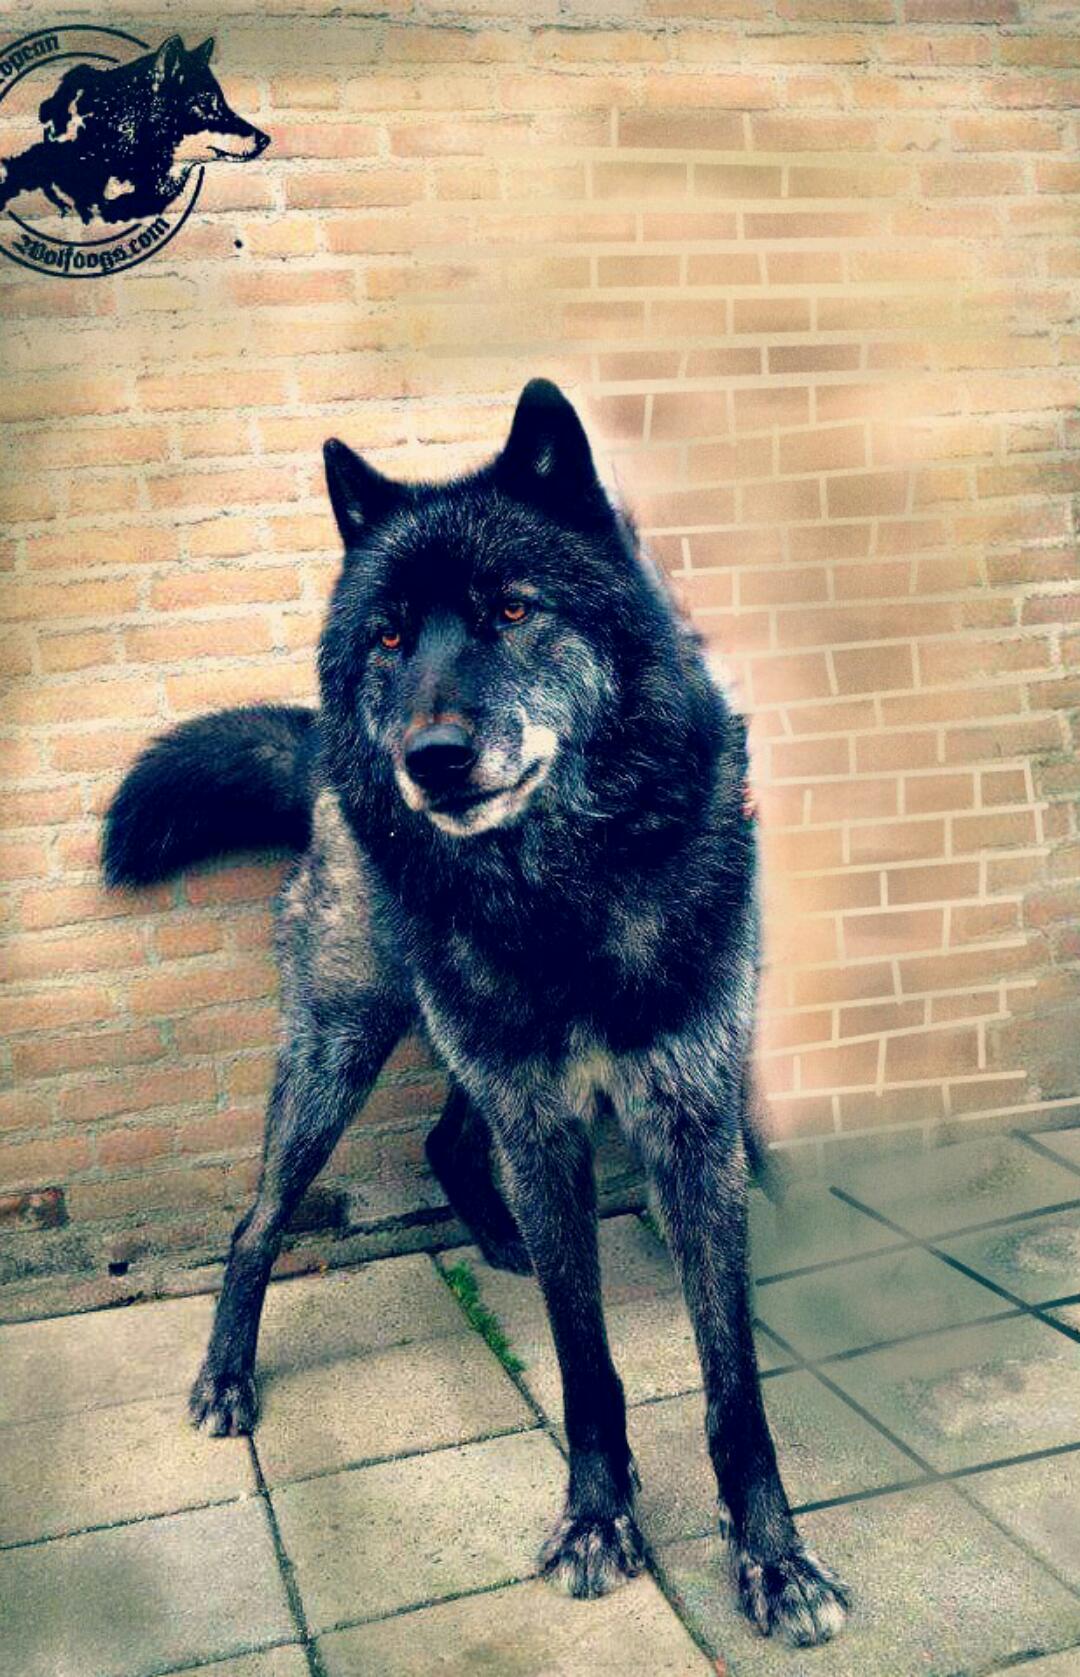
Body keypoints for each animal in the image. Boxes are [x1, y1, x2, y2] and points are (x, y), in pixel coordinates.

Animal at [102, 381, 850, 1646]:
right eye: (390, 636)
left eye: (512, 608)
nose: (434, 760)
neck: (565, 896)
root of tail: (323, 753)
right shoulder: (545, 1122)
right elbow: (583, 1361)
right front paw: (598, 1519)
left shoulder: (687, 1117)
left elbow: (733, 1379)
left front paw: (773, 1558)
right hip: (342, 1050)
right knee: (258, 1221)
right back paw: (228, 1376)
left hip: (463, 1052)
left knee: (448, 1138)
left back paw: (498, 1239)